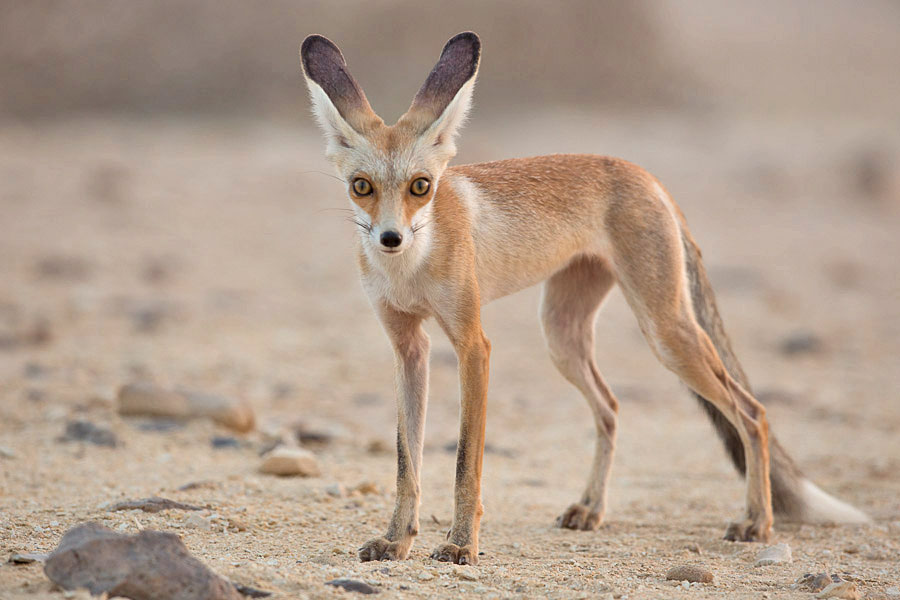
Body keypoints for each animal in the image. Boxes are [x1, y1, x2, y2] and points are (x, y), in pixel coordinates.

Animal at [299, 31, 870, 565]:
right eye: (362, 186)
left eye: (421, 186)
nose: (391, 238)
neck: (409, 272)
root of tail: (645, 174)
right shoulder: (408, 349)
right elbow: (406, 463)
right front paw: (397, 541)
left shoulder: (473, 346)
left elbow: (465, 465)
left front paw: (461, 546)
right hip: (562, 338)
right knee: (612, 407)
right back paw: (592, 509)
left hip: (665, 333)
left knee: (753, 413)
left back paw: (758, 521)